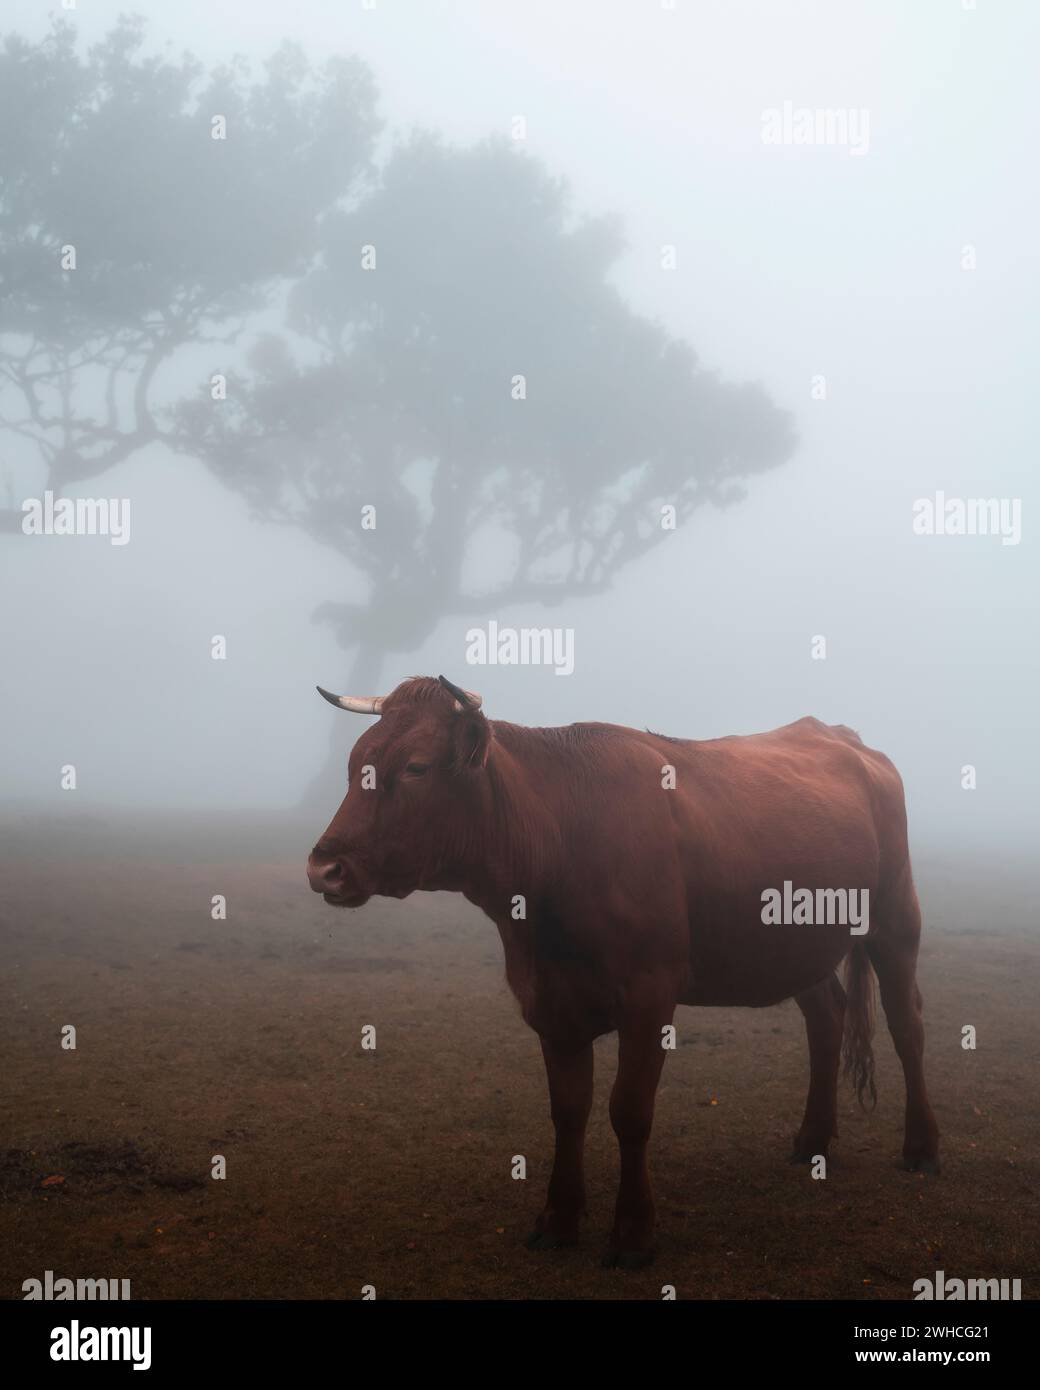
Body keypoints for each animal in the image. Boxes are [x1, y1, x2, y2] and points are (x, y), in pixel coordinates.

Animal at [307, 674, 939, 1268]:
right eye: (354, 765)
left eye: (415, 767)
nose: (323, 868)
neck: (560, 842)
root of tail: (846, 739)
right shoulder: (548, 1001)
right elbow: (568, 1111)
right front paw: (558, 1220)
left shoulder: (649, 998)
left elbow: (629, 1111)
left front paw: (634, 1235)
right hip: (800, 946)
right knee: (827, 1017)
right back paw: (813, 1141)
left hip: (894, 916)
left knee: (907, 1026)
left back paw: (922, 1148)